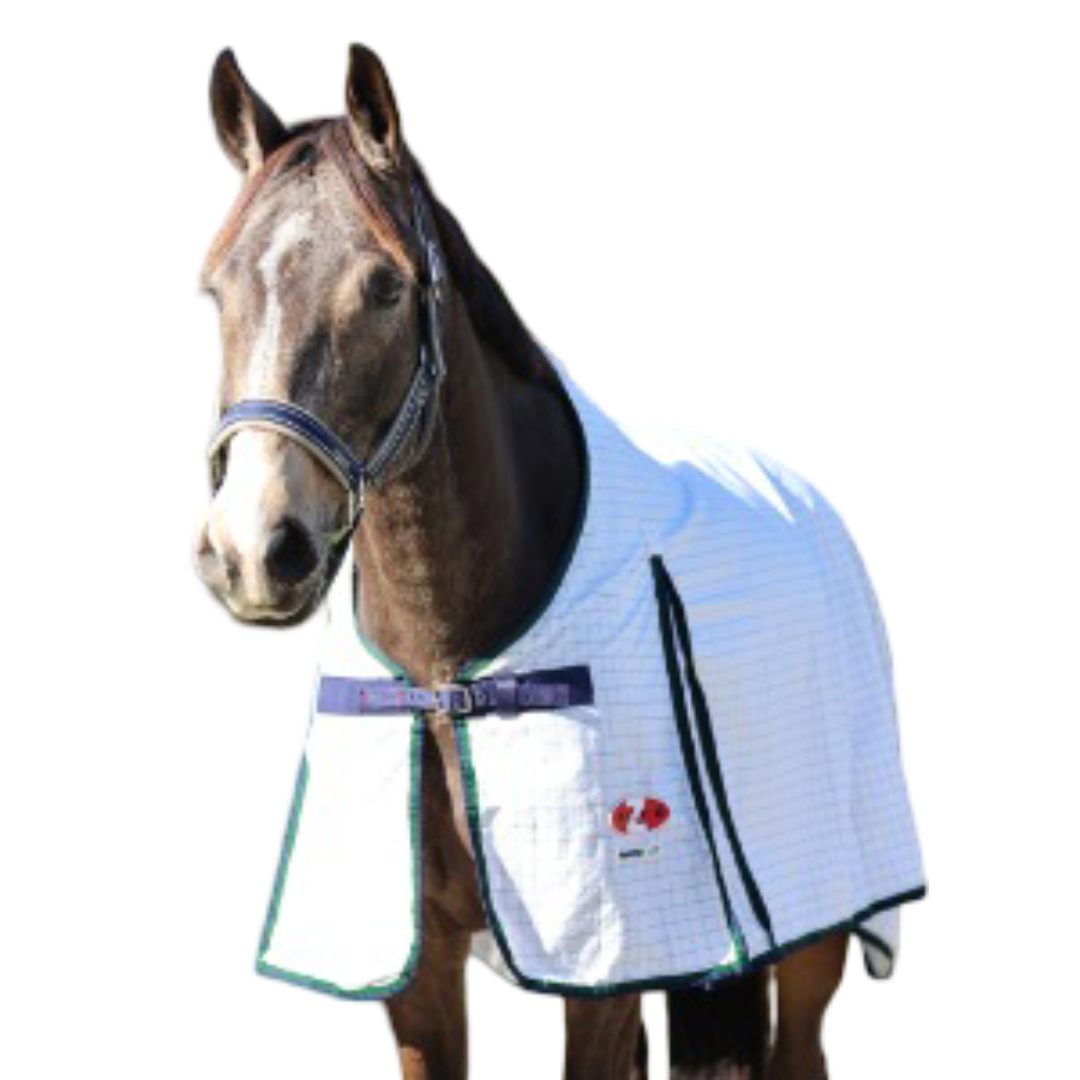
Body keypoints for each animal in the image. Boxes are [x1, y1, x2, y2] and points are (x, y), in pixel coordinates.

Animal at [190, 41, 918, 1079]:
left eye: (385, 287)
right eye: (213, 290)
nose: (252, 551)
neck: (448, 662)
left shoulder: (602, 979)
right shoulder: (416, 983)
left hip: (810, 949)